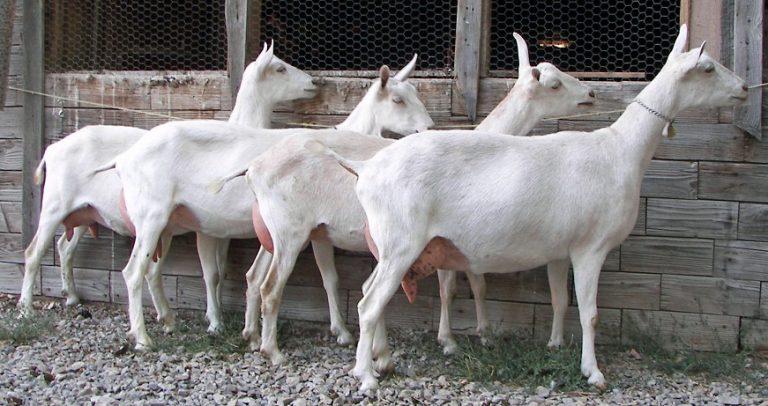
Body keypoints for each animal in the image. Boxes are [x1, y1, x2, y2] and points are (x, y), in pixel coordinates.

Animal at [18, 42, 315, 336]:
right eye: (280, 68)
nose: (313, 83)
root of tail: (51, 150)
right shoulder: (205, 229)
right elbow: (211, 274)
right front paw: (215, 323)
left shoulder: (222, 231)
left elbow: (218, 272)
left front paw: (217, 317)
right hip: (60, 206)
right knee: (35, 254)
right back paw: (27, 310)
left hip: (87, 213)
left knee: (65, 248)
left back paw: (74, 297)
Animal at [108, 59, 432, 350]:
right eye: (398, 100)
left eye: (416, 93)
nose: (429, 129)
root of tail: (125, 158)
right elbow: (265, 278)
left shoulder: (315, 232)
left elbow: (326, 278)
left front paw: (258, 333)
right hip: (152, 216)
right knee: (134, 272)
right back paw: (145, 337)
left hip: (168, 223)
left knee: (153, 270)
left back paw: (167, 320)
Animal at [240, 33, 595, 365]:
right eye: (554, 84)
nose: (591, 94)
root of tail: (256, 167)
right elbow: (447, 288)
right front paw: (448, 341)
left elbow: (478, 285)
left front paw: (485, 335)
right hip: (291, 231)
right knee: (271, 287)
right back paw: (274, 351)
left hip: (279, 233)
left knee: (257, 276)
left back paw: (255, 337)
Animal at [333, 25, 747, 391]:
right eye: (708, 68)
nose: (745, 88)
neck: (620, 150)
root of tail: (364, 169)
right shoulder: (591, 247)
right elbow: (590, 313)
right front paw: (593, 372)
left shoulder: (561, 250)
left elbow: (560, 301)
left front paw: (555, 345)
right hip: (401, 242)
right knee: (368, 304)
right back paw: (366, 376)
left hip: (389, 246)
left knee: (370, 291)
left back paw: (383, 360)